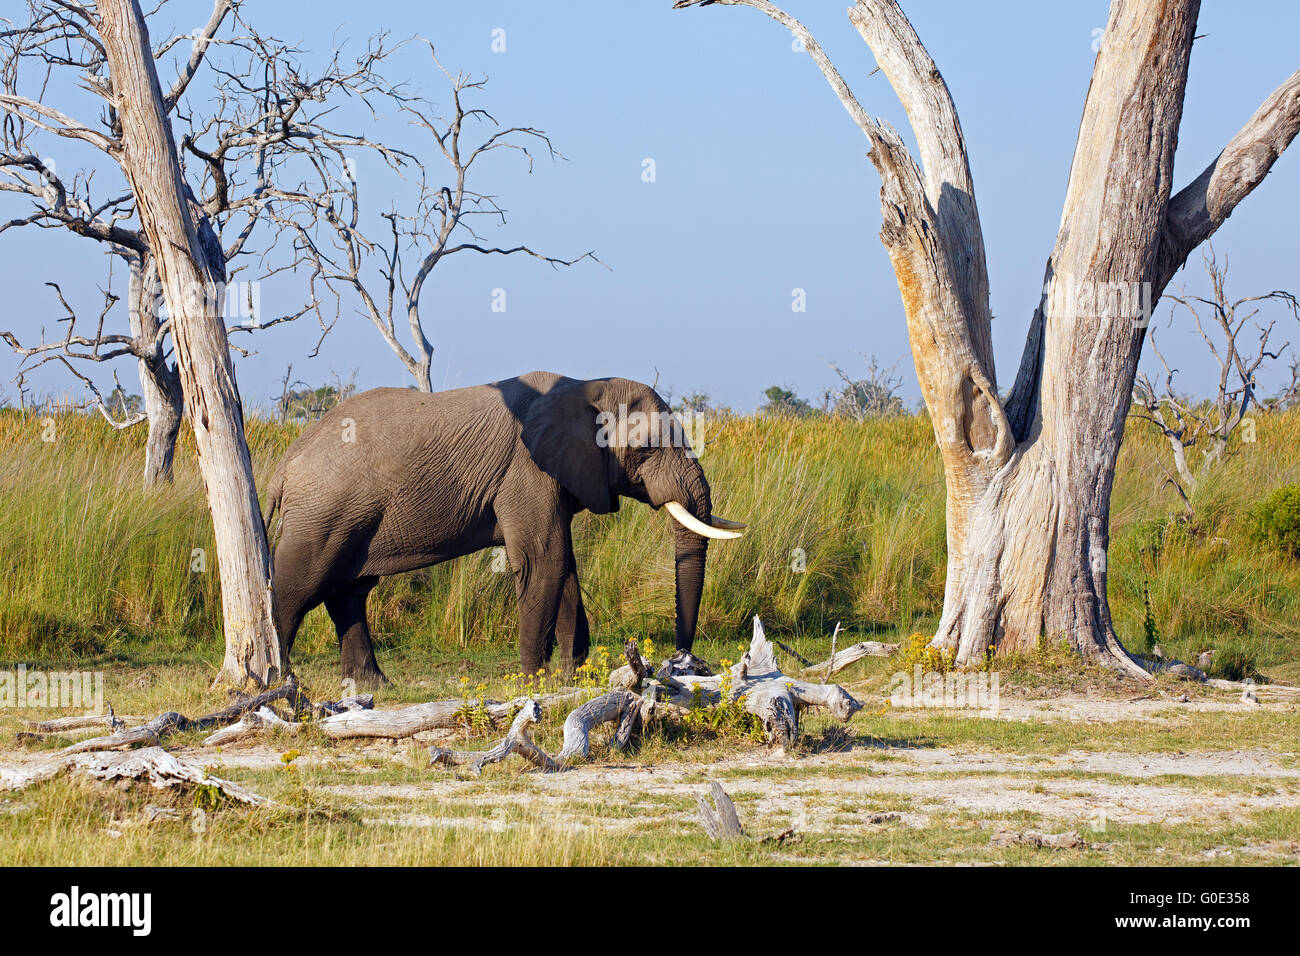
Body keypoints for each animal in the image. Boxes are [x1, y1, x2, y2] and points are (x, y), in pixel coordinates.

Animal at [262, 371, 745, 687]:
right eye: (648, 448)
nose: (681, 662)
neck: (584, 383)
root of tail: (283, 467)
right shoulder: (525, 472)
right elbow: (544, 561)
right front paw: (533, 682)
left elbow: (564, 566)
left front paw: (573, 677)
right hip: (323, 513)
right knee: (296, 587)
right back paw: (281, 684)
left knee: (349, 592)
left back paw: (373, 686)